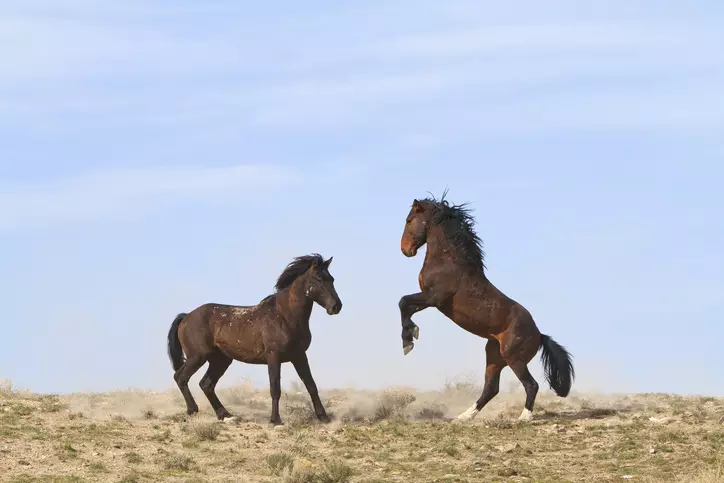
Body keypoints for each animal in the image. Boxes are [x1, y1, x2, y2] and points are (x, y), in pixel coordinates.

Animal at [167, 255, 342, 426]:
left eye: (332, 279)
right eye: (318, 279)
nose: (336, 306)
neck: (284, 316)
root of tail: (186, 316)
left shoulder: (299, 356)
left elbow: (311, 385)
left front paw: (324, 418)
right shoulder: (274, 356)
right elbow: (275, 388)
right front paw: (275, 420)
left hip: (220, 360)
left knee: (206, 384)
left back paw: (225, 415)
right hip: (198, 357)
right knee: (181, 377)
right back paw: (193, 410)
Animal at [398, 195, 576, 422]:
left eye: (409, 220)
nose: (405, 250)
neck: (449, 260)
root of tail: (539, 335)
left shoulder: (434, 298)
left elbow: (403, 302)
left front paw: (409, 340)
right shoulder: (430, 300)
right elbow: (406, 306)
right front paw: (410, 337)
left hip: (514, 358)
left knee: (531, 385)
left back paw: (524, 417)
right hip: (493, 357)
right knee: (491, 388)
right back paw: (464, 417)